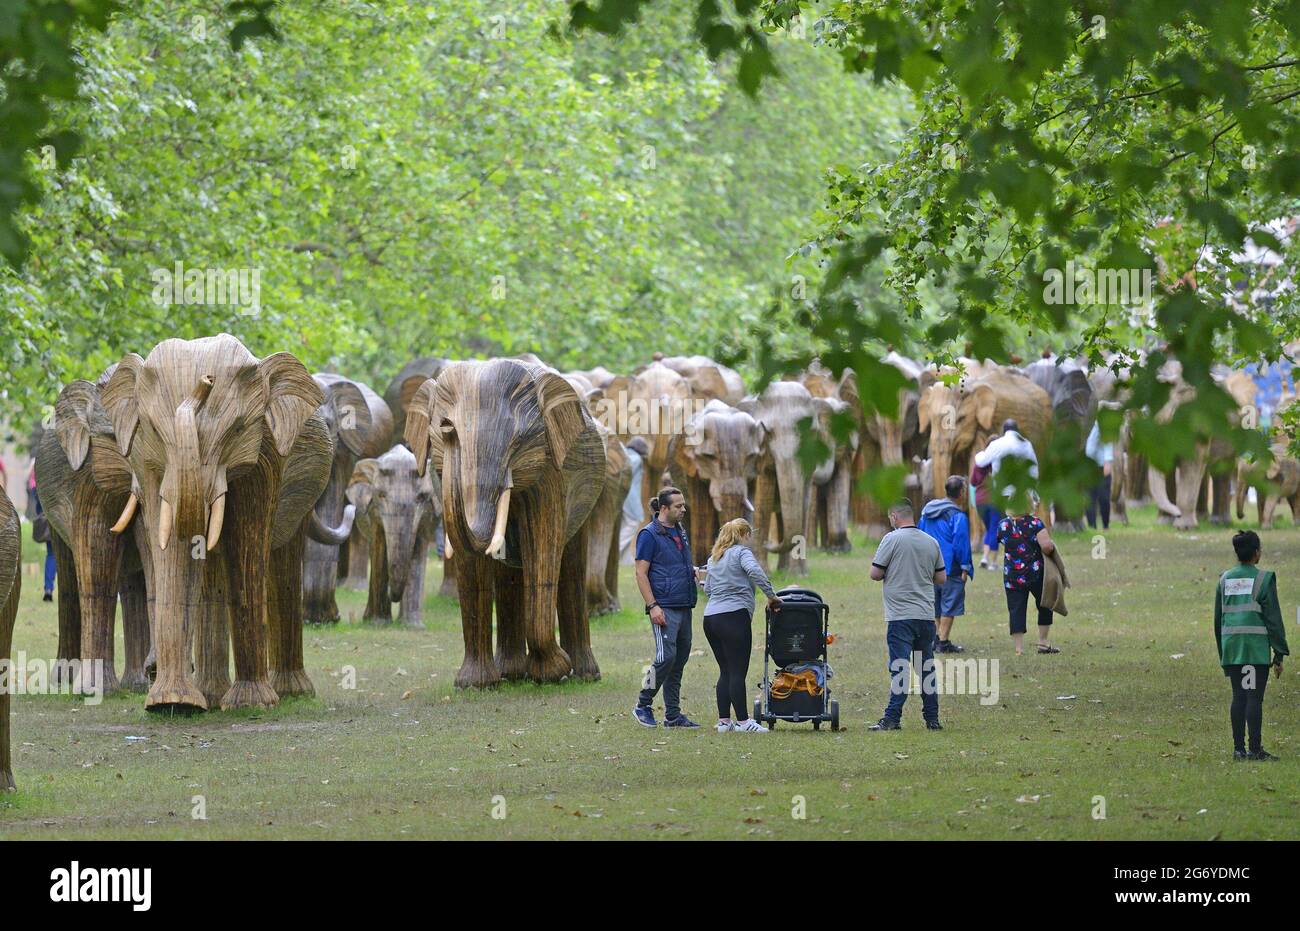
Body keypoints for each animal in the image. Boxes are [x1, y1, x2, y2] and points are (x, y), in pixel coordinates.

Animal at [34, 373, 152, 695]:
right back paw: (64, 681)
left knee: (132, 582)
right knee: (68, 574)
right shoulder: (85, 478)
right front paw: (94, 691)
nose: (153, 668)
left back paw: (137, 685)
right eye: (117, 438)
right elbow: (97, 565)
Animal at [101, 333, 351, 712]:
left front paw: (252, 704)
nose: (205, 382)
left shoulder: (265, 454)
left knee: (281, 560)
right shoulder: (145, 461)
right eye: (155, 429)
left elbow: (246, 548)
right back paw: (210, 694)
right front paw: (171, 704)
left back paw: (288, 693)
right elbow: (173, 551)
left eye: (238, 429)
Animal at [345, 444, 439, 626]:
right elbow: (380, 549)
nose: (393, 594)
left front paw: (413, 626)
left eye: (422, 497)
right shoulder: (373, 511)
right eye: (381, 495)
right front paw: (378, 624)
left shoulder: (429, 513)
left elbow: (418, 550)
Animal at [405, 358, 606, 687]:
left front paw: (555, 672)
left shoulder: (549, 469)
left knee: (571, 562)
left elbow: (543, 550)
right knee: (509, 575)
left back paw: (584, 675)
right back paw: (512, 674)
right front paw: (474, 685)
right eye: (437, 437)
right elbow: (471, 564)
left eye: (518, 443)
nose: (449, 428)